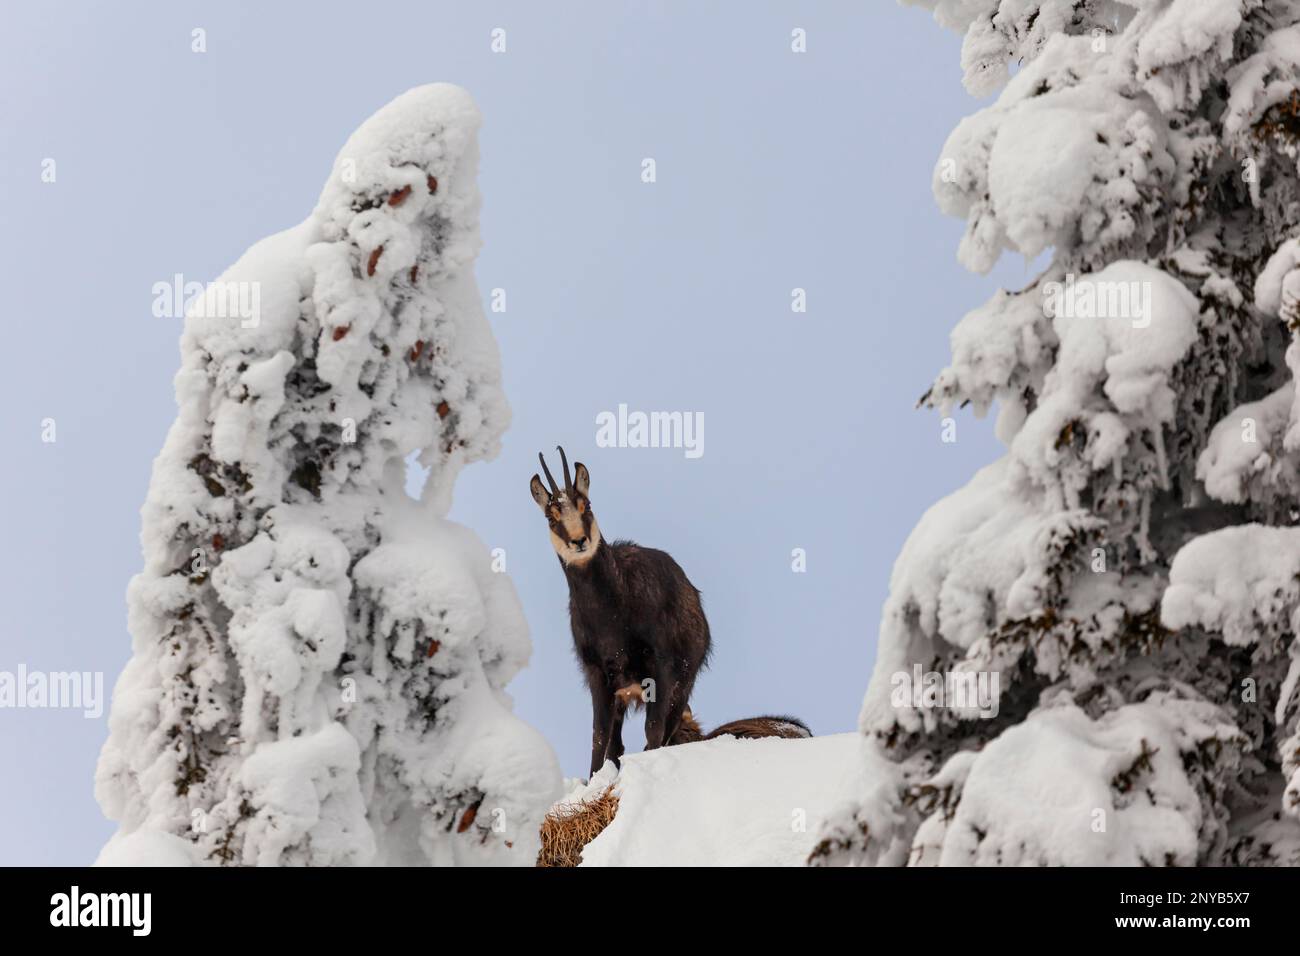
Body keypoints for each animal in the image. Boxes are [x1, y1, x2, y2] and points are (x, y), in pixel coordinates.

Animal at [531, 447, 711, 776]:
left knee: (666, 730)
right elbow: (599, 738)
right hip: (622, 695)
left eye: (586, 505)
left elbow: (653, 731)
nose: (579, 541)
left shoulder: (659, 669)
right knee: (616, 744)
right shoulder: (598, 674)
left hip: (683, 682)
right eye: (551, 516)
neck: (611, 617)